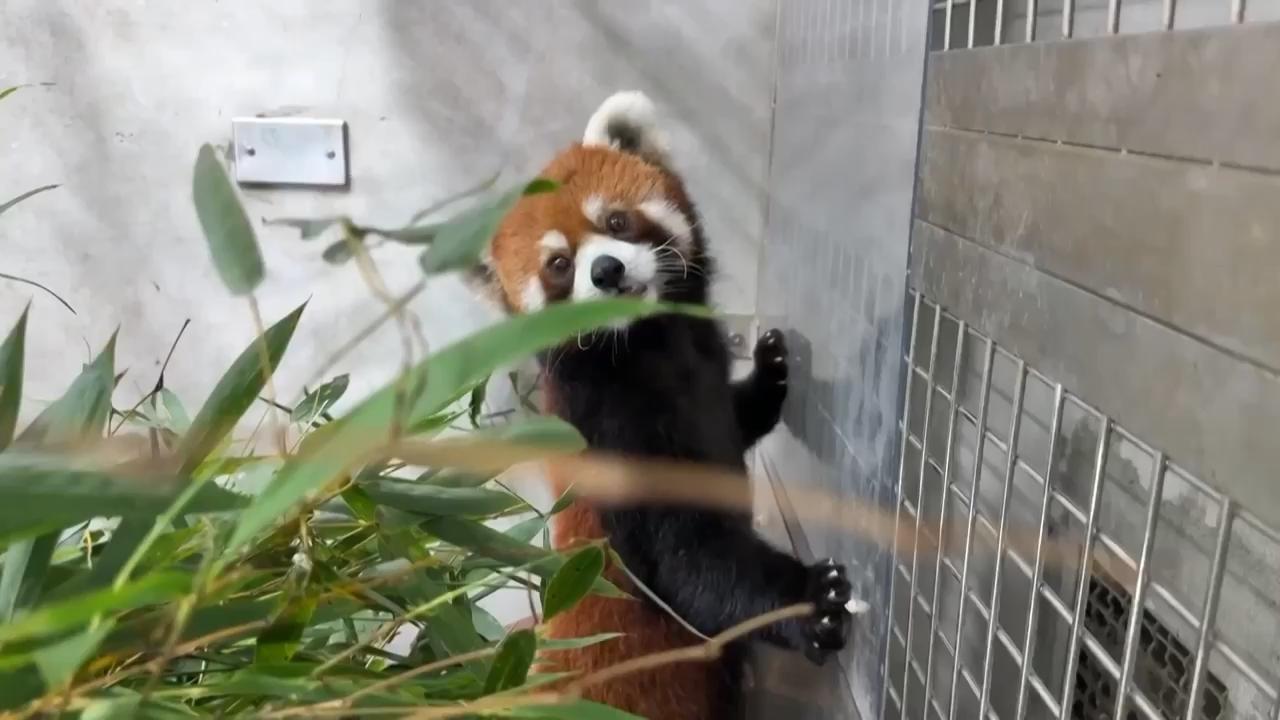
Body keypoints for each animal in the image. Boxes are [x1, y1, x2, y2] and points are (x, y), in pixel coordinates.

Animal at [470, 91, 853, 719]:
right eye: (558, 266)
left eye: (615, 221)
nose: (607, 271)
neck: (651, 339)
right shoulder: (610, 426)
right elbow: (683, 557)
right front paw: (807, 600)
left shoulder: (708, 372)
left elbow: (739, 419)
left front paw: (771, 368)